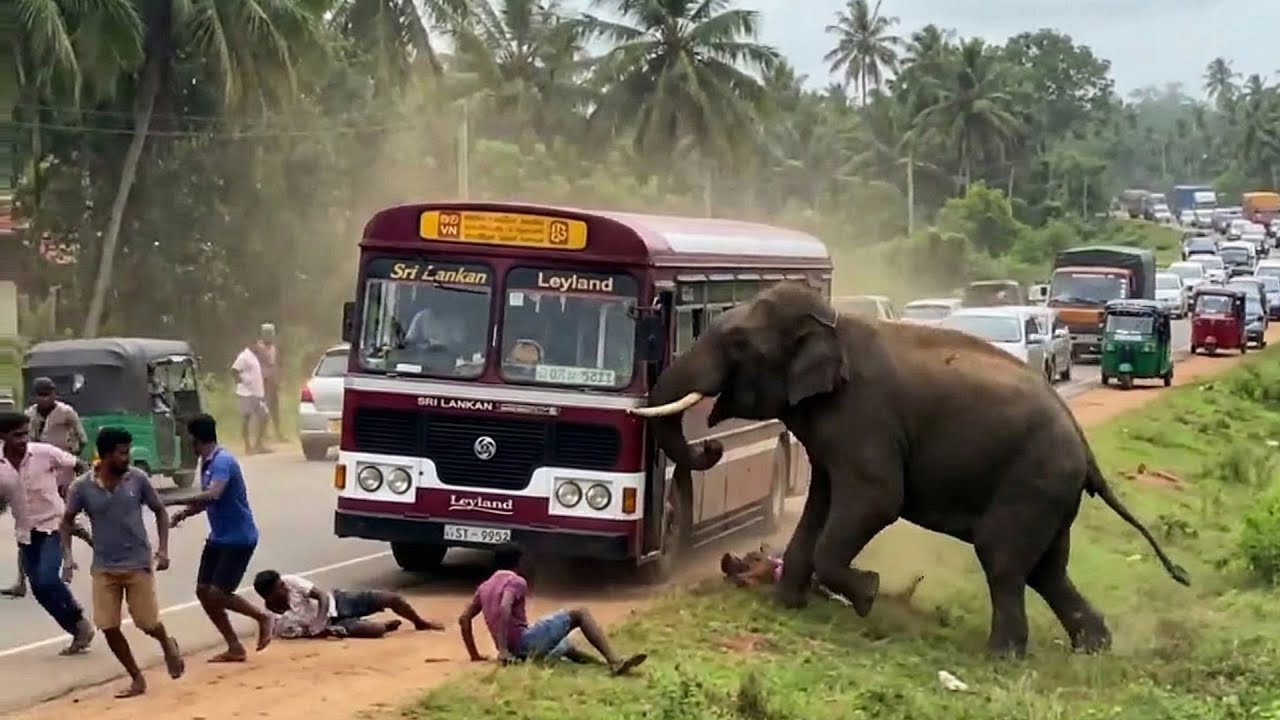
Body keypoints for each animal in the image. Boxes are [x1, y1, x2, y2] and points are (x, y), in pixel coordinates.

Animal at [631, 282, 1189, 657]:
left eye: (739, 345)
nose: (710, 449)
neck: (836, 324)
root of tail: (1086, 450)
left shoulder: (864, 419)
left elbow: (877, 500)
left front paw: (868, 592)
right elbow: (822, 502)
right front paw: (787, 605)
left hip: (1032, 483)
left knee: (1005, 563)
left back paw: (1001, 657)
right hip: (1052, 495)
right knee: (1047, 570)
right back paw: (1093, 648)